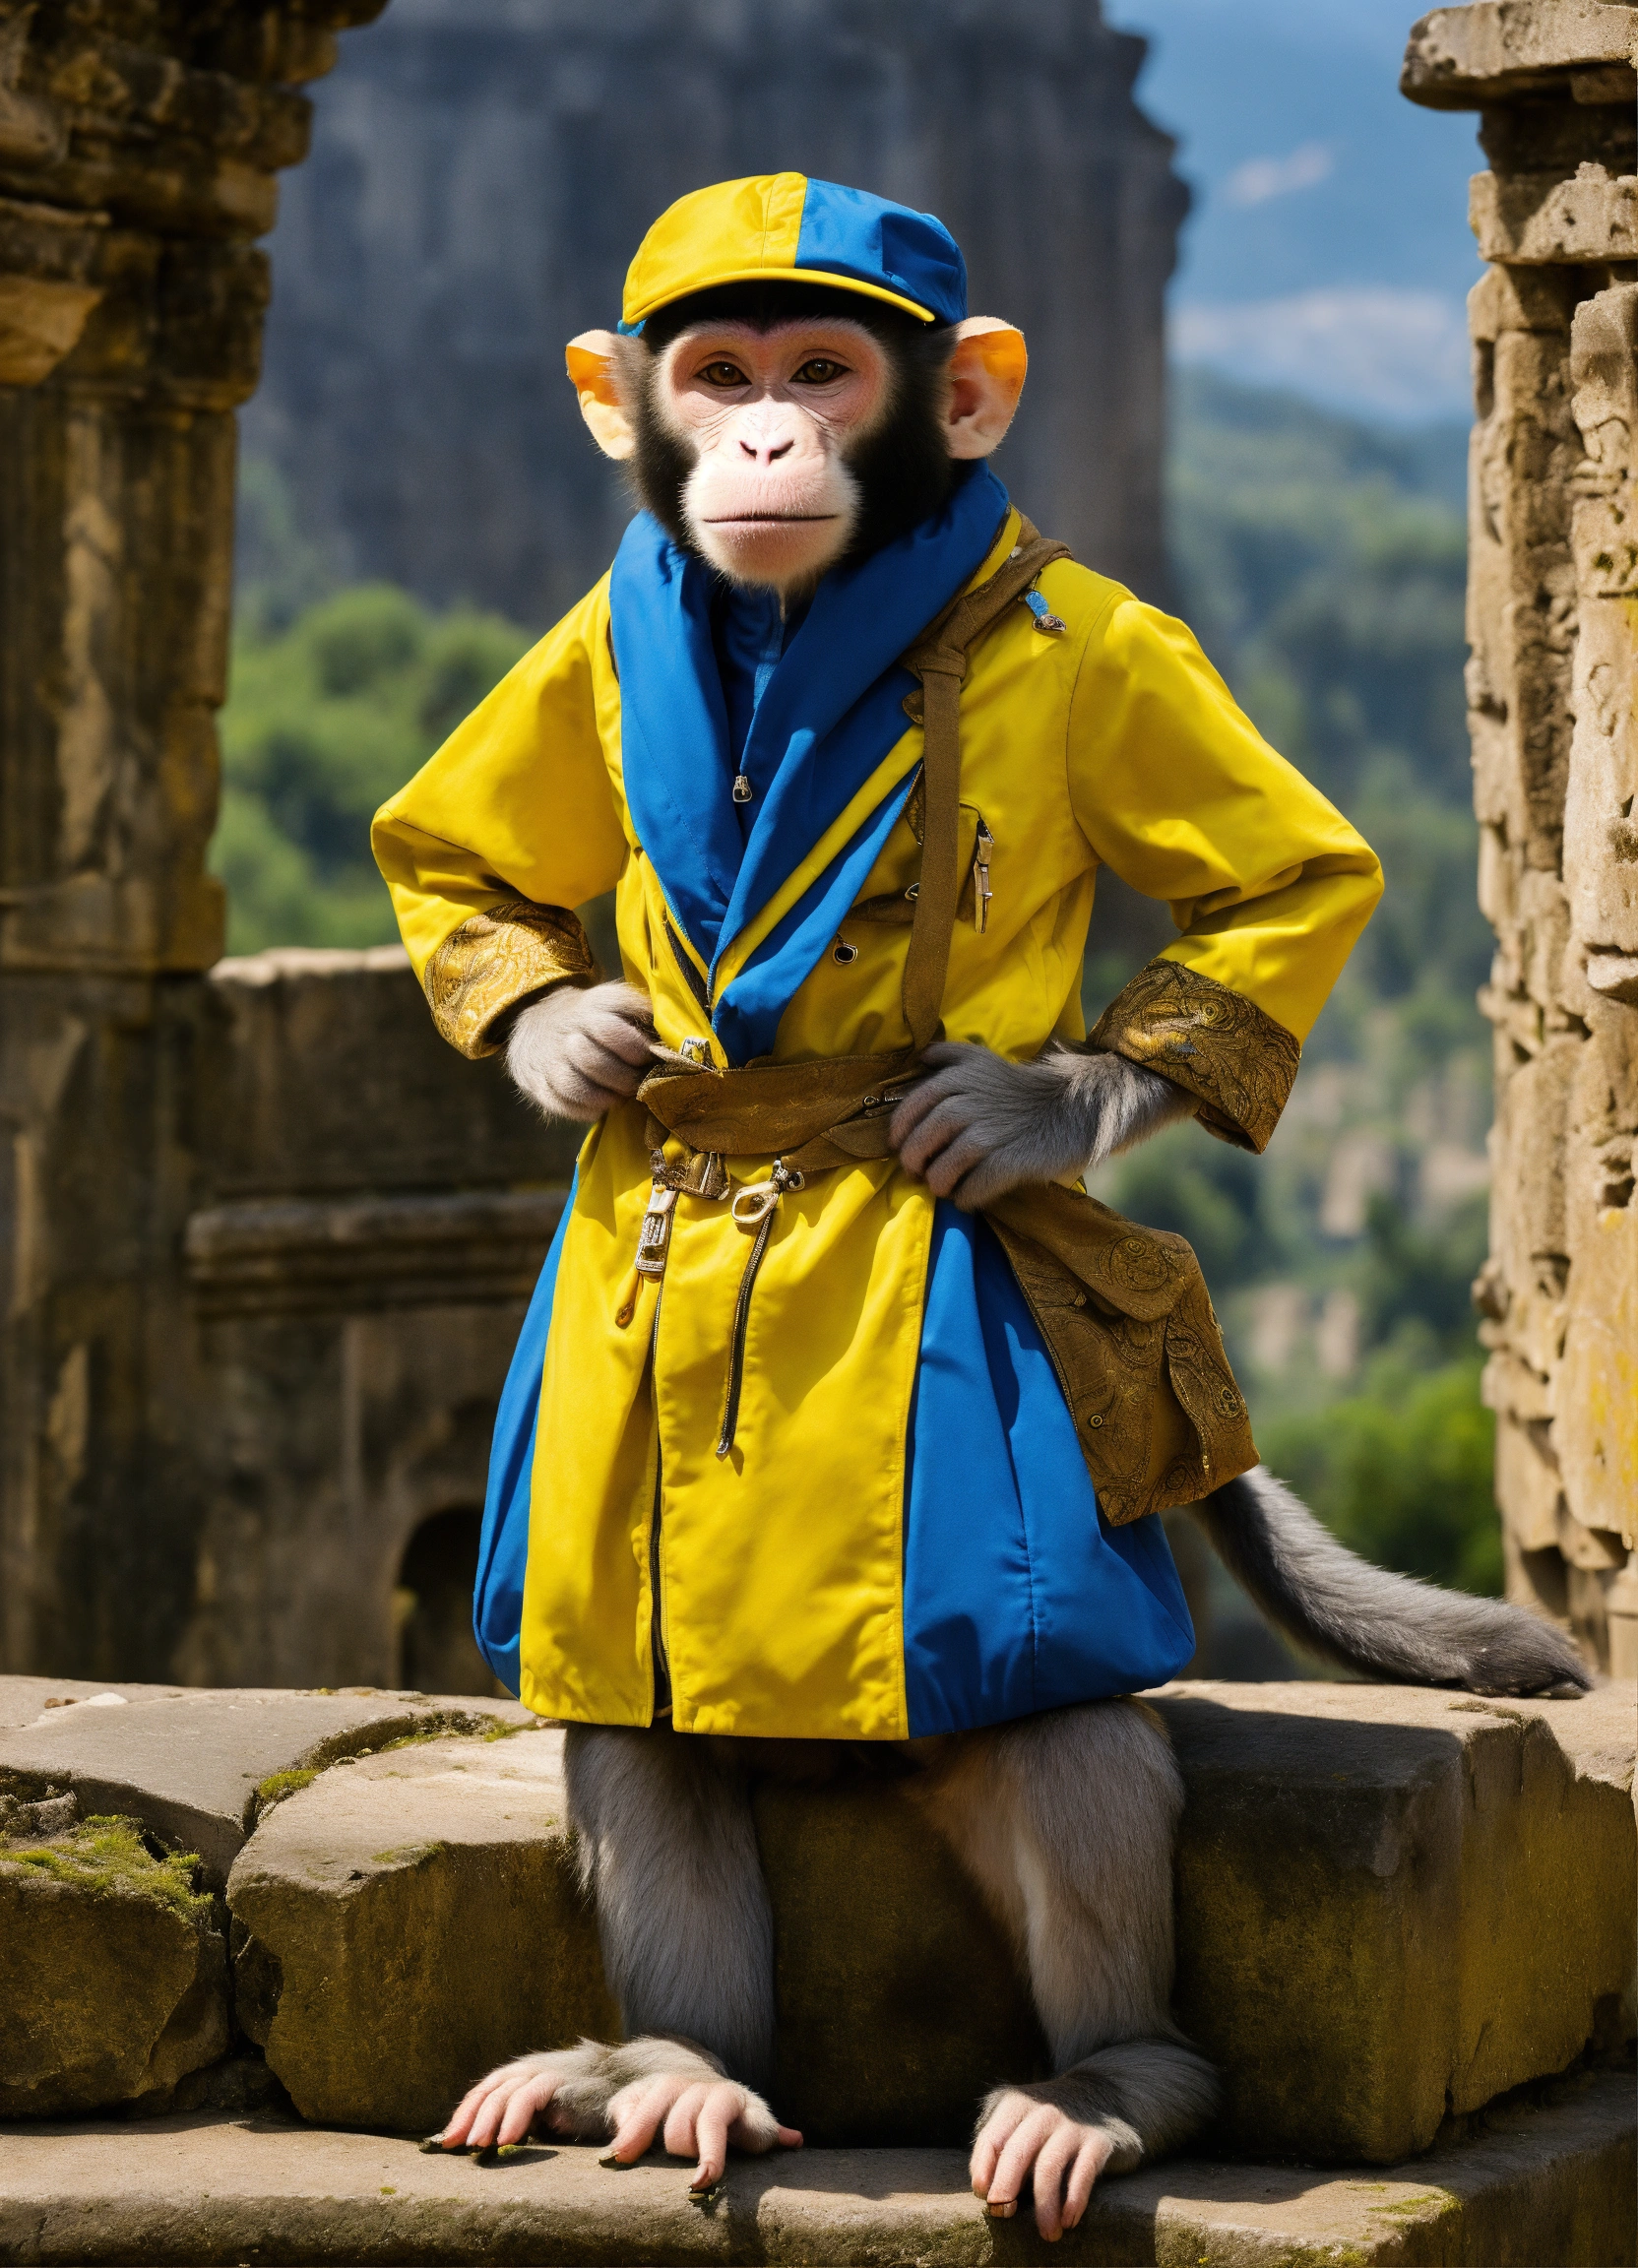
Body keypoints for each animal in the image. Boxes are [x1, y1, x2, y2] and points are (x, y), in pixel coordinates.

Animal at [372, 176, 1589, 2242]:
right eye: (719, 371)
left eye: (820, 367)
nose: (761, 442)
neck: (806, 620)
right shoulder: (591, 635)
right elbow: (446, 843)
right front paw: (564, 1036)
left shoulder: (1099, 639)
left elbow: (1291, 878)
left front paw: (1023, 1104)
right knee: (632, 1708)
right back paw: (677, 2061)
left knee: (1053, 1725)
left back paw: (1112, 2082)